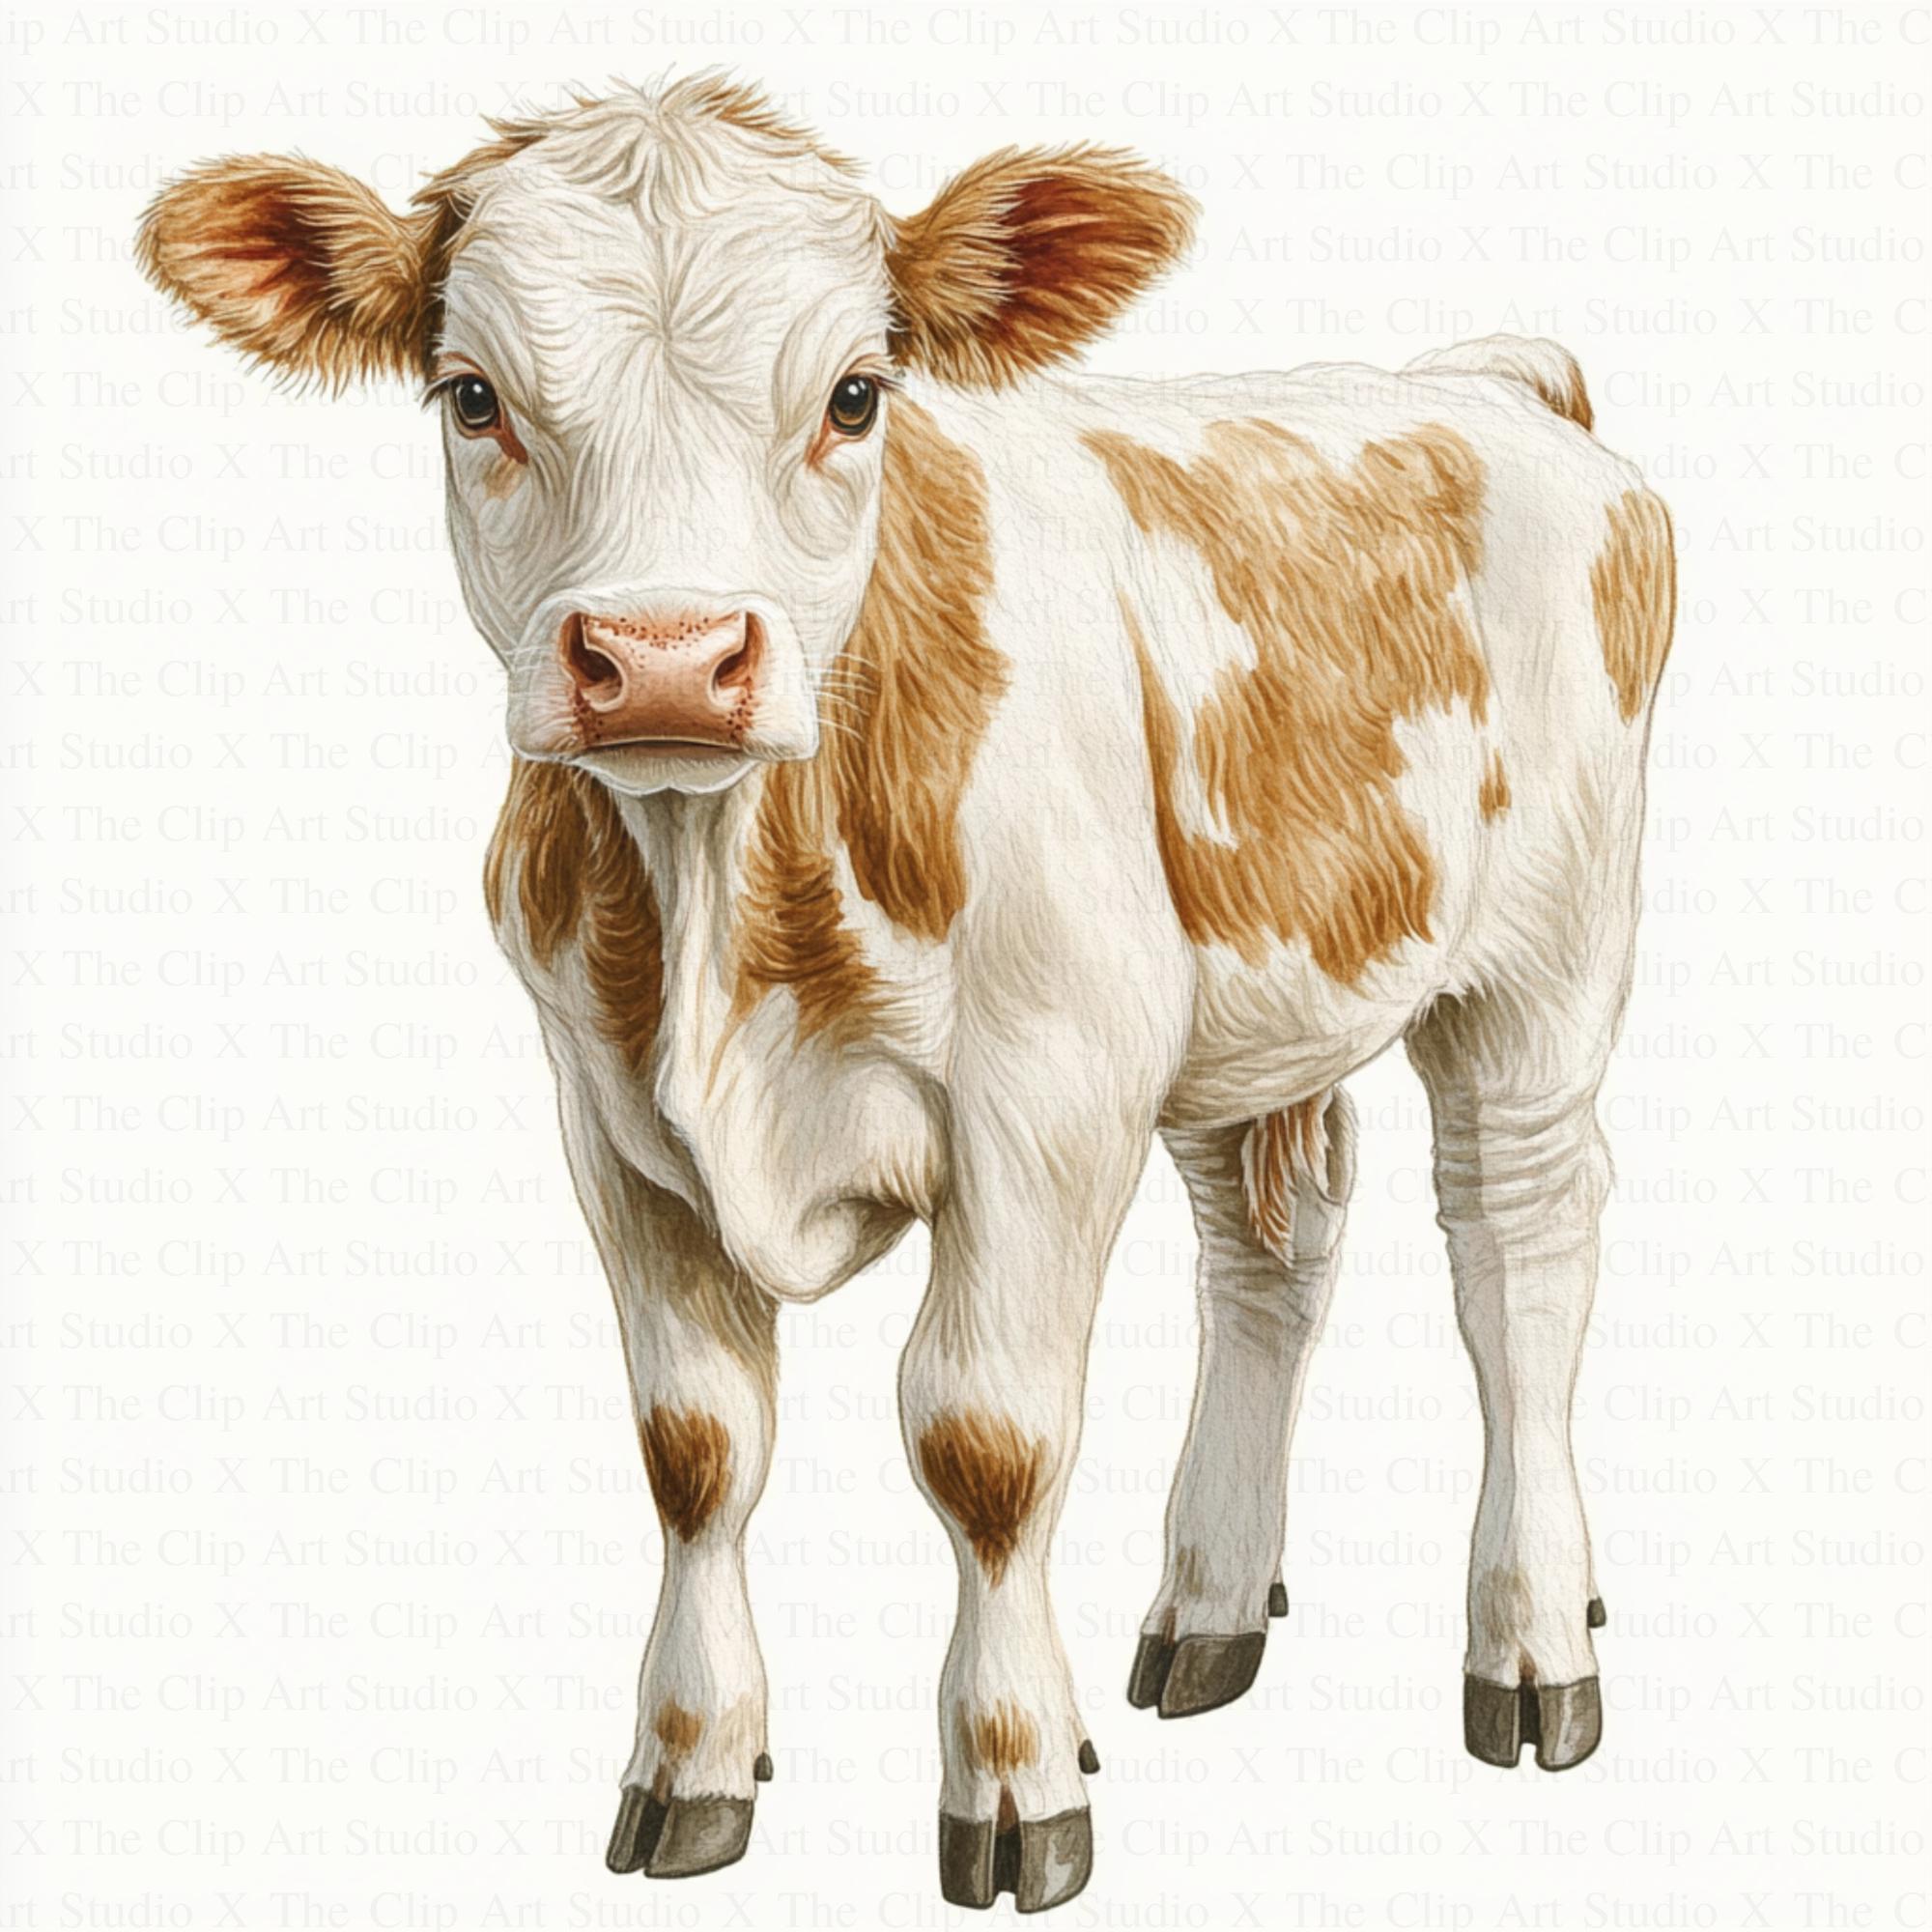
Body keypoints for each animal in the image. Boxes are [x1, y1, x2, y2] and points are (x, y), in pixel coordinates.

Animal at [138, 74, 1675, 1912]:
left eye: (855, 395)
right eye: (472, 396)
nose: (667, 658)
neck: (727, 909)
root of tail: (1477, 377)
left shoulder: (1046, 1099)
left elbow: (985, 1443)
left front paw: (1016, 1785)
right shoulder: (613, 1125)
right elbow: (695, 1451)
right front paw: (691, 1767)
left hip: (1543, 963)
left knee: (1519, 1257)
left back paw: (1532, 1645)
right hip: (1241, 1013)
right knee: (1271, 1257)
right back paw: (1210, 1612)